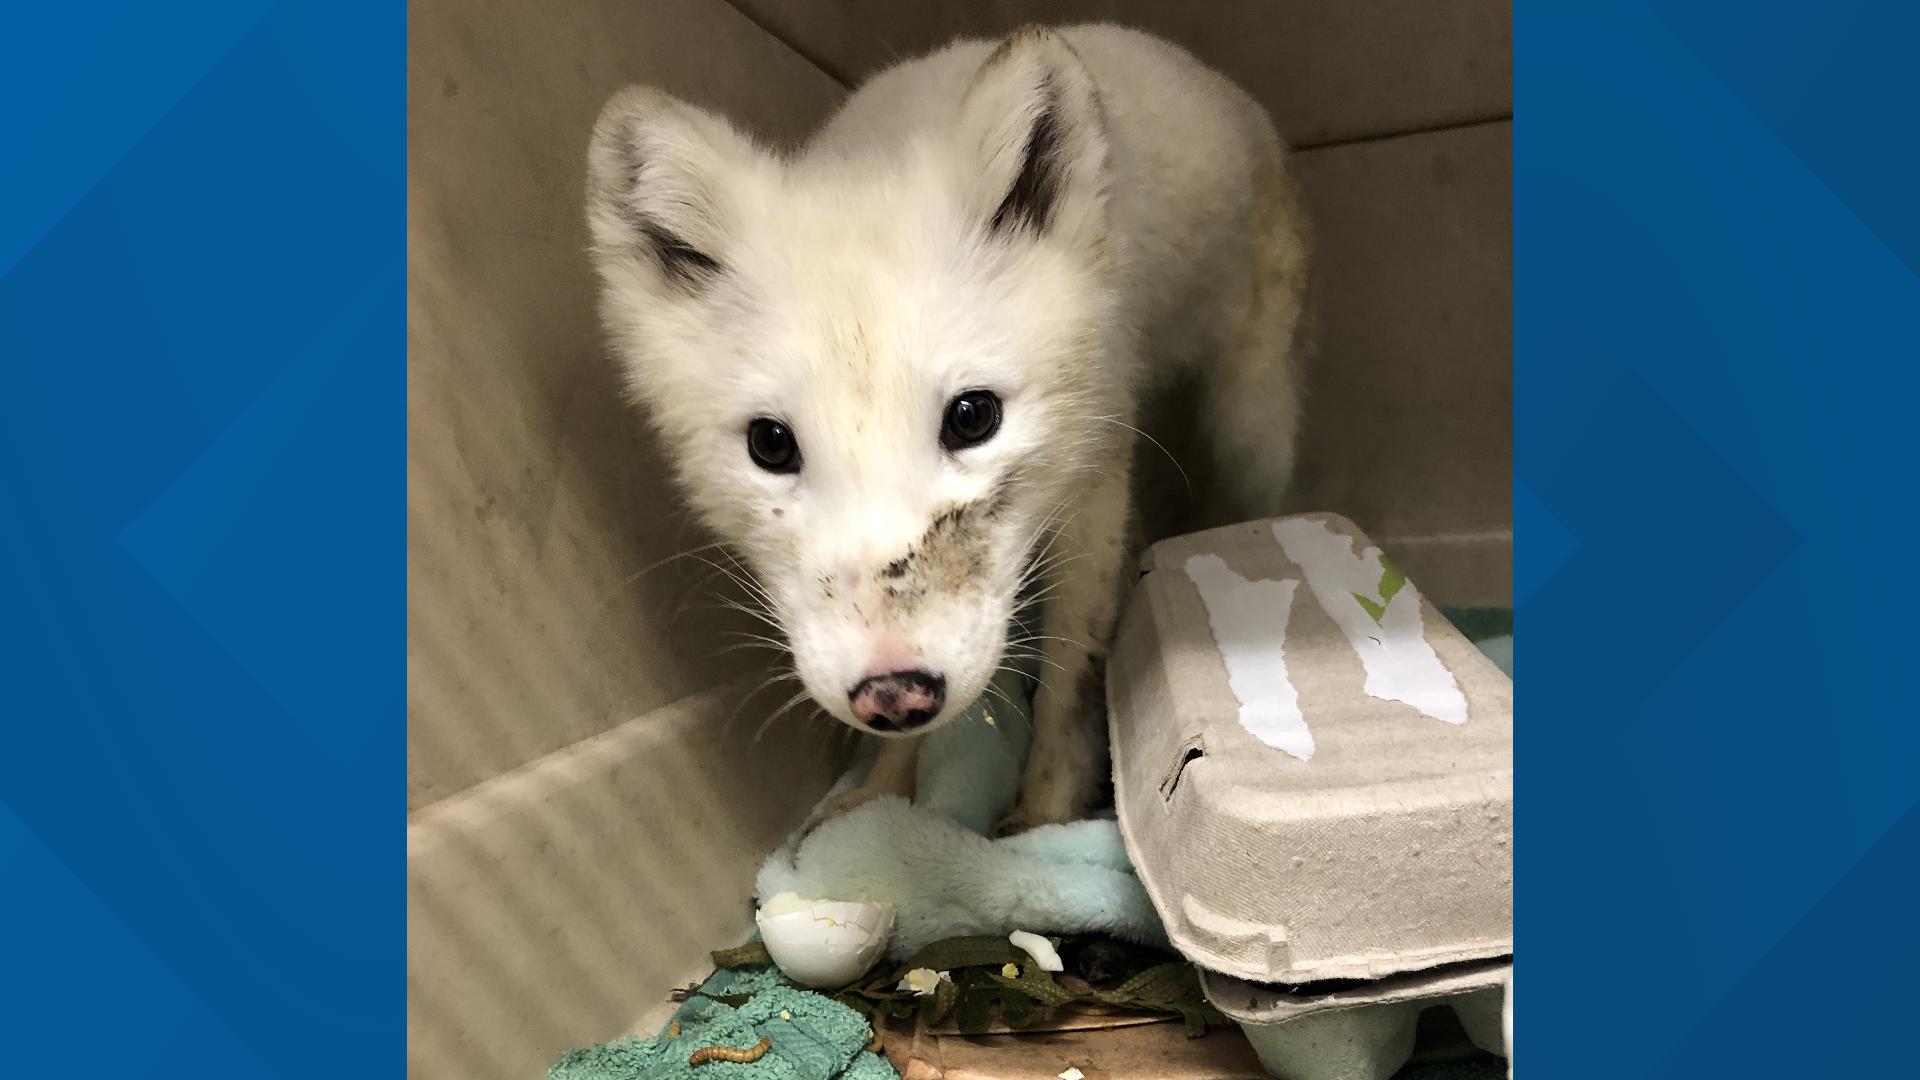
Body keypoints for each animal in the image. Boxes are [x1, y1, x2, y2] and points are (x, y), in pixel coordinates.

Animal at [584, 24, 1309, 833]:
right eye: (770, 444)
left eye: (973, 416)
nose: (895, 692)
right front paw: (884, 794)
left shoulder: (1096, 479)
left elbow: (1069, 677)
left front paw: (1043, 817)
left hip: (1250, 427)